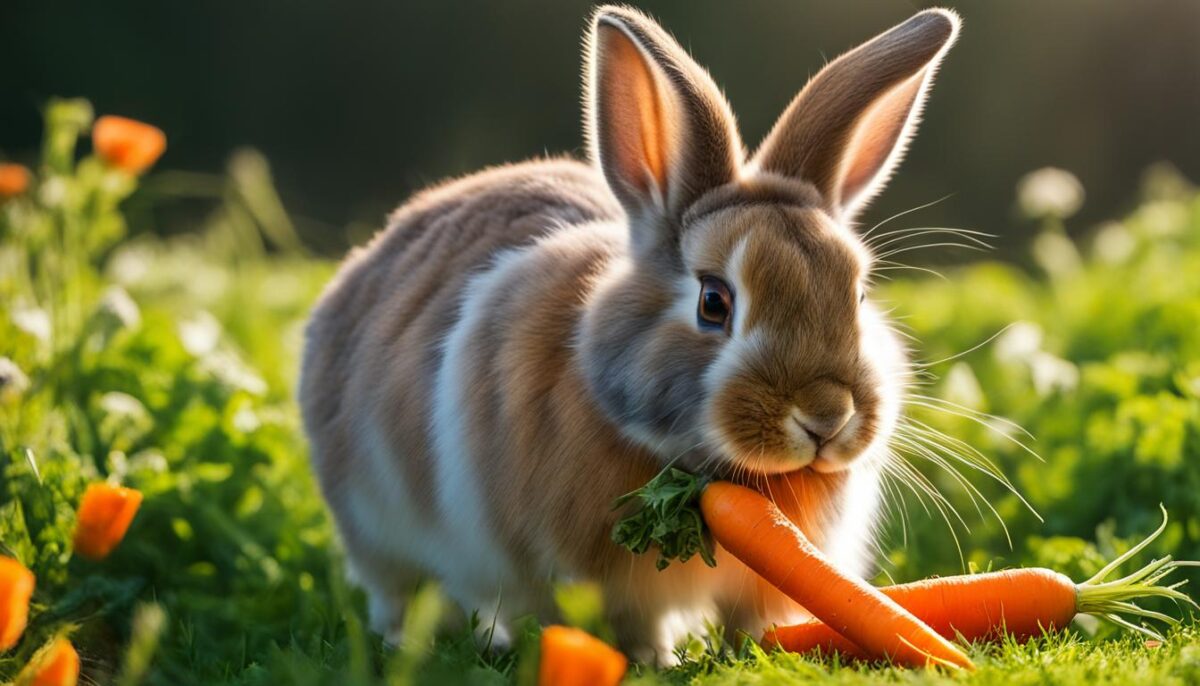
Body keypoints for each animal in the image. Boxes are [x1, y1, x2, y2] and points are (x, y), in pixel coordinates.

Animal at [299, 4, 959, 664]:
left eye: (859, 294)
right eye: (714, 302)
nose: (826, 417)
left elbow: (750, 620)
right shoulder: (603, 583)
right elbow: (631, 626)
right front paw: (655, 663)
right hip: (377, 536)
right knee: (401, 596)